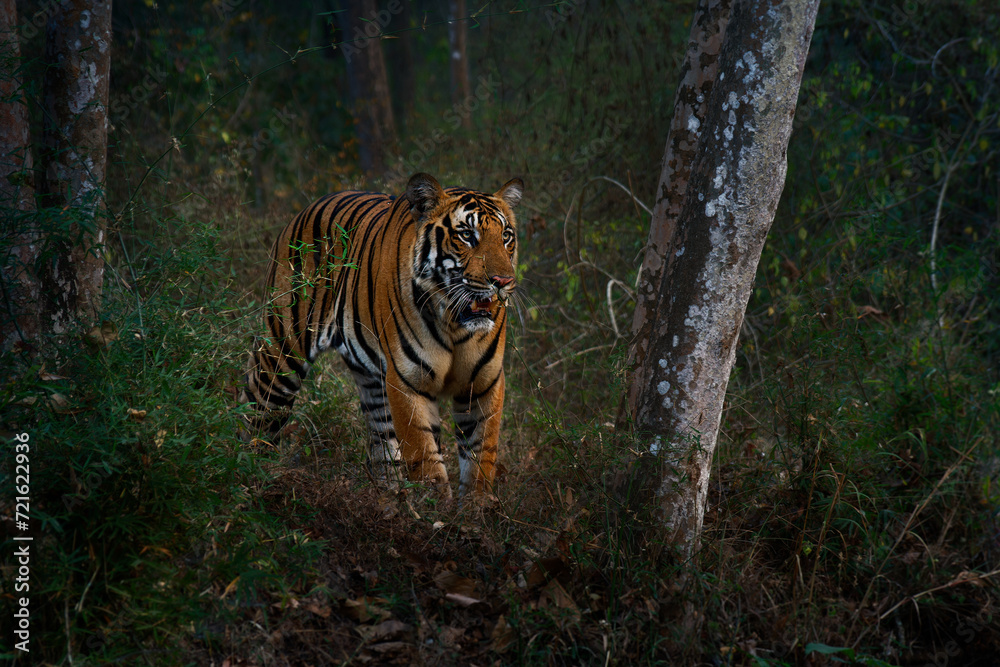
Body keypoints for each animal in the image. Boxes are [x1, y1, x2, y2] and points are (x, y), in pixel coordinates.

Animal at [239, 173, 524, 498]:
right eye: (466, 235)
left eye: (506, 237)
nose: (503, 281)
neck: (454, 323)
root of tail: (305, 209)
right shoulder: (408, 381)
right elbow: (425, 458)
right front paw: (436, 507)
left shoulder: (484, 383)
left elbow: (480, 457)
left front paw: (476, 506)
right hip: (281, 357)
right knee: (256, 415)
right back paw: (247, 479)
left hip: (373, 384)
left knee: (381, 448)